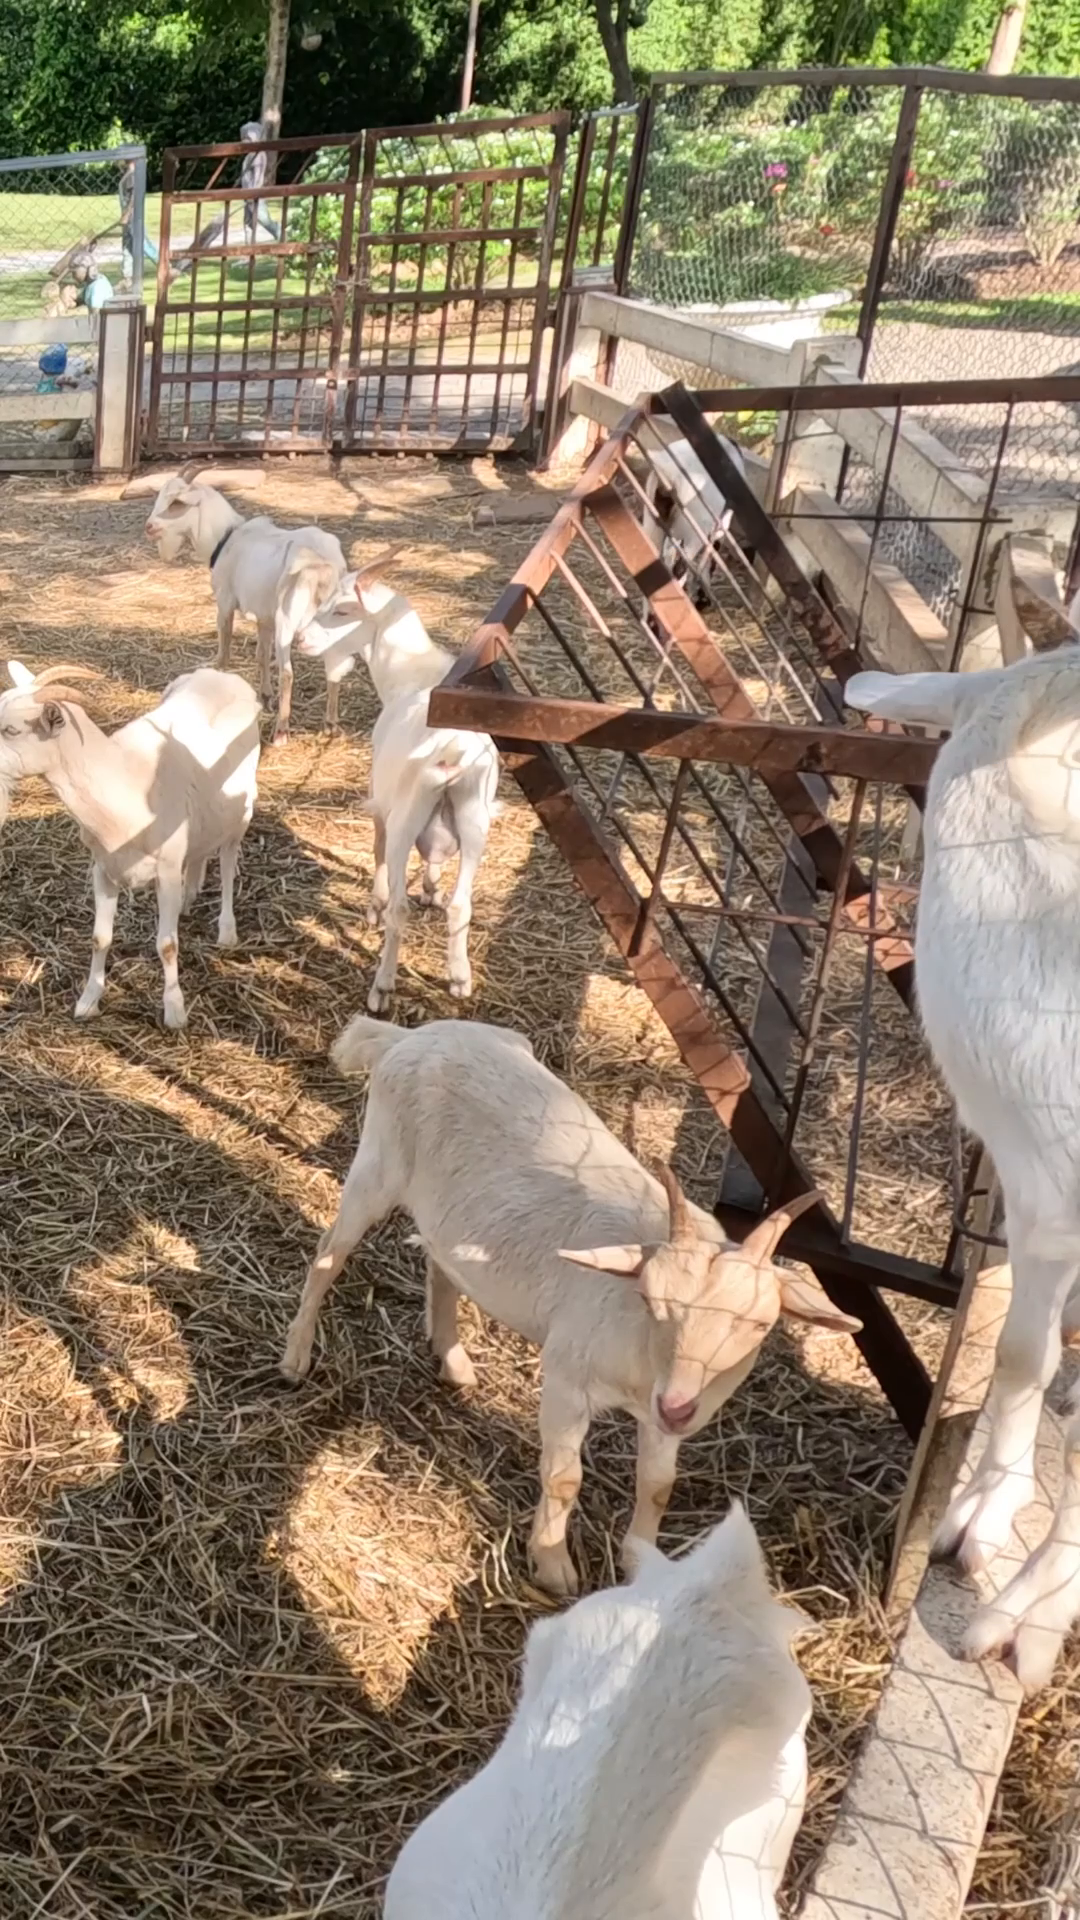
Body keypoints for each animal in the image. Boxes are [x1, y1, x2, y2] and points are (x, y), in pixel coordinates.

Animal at [0, 660, 259, 1030]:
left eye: (11, 730)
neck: (124, 781)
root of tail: (223, 675)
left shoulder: (166, 870)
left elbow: (167, 944)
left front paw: (175, 1011)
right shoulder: (103, 869)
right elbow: (100, 937)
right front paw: (88, 1000)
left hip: (243, 809)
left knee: (227, 862)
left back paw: (226, 930)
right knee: (200, 850)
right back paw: (189, 897)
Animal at [144, 464, 346, 744]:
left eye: (176, 502)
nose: (149, 527)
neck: (225, 539)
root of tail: (323, 564)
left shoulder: (225, 602)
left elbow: (224, 650)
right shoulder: (264, 617)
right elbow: (261, 655)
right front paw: (265, 697)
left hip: (287, 618)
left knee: (287, 672)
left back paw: (281, 731)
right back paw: (331, 724)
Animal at [281, 1015, 860, 1595]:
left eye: (759, 1324)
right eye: (651, 1301)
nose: (678, 1406)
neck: (640, 1361)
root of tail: (406, 1037)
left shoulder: (661, 1414)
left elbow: (658, 1484)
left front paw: (642, 1558)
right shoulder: (567, 1379)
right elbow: (564, 1479)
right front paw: (553, 1566)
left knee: (441, 1263)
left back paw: (453, 1360)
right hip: (377, 1166)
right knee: (328, 1255)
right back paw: (296, 1358)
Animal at [297, 563, 499, 1009]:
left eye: (343, 610)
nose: (301, 639)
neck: (411, 676)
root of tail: (454, 752)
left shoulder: (381, 801)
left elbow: (376, 851)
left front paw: (374, 906)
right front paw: (431, 888)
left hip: (406, 819)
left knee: (400, 909)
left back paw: (383, 986)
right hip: (475, 824)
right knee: (461, 905)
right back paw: (459, 978)